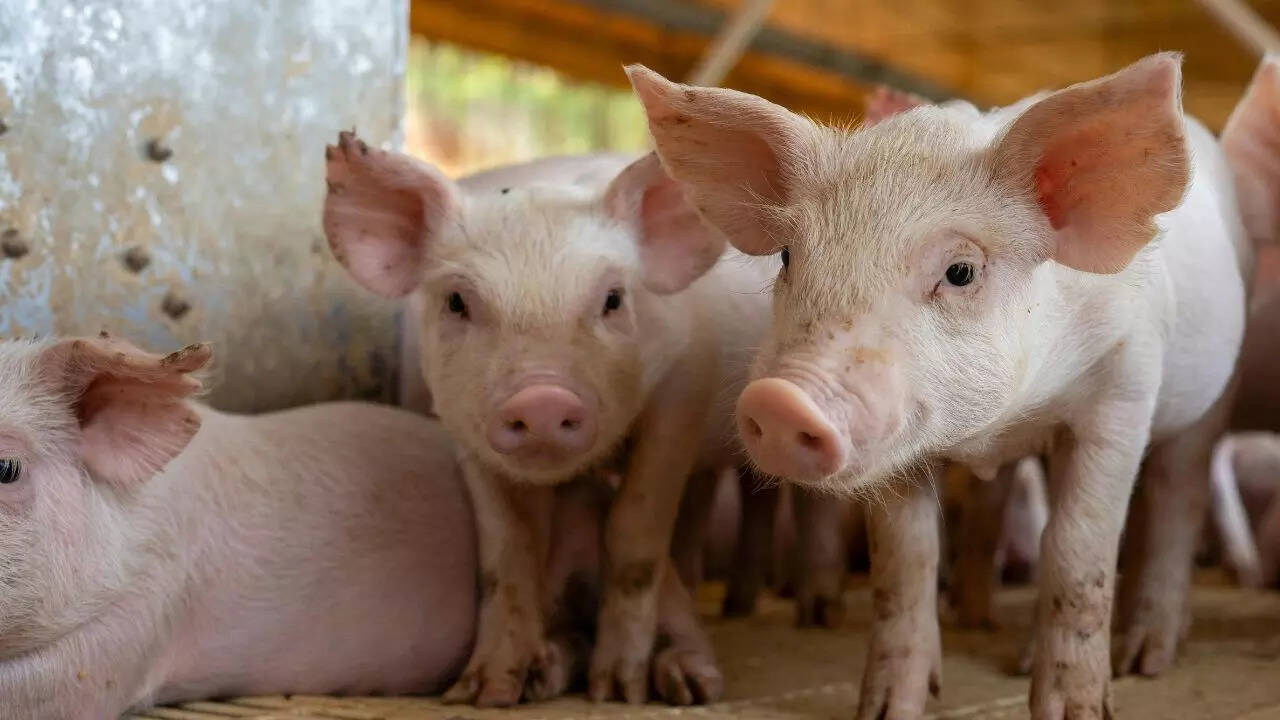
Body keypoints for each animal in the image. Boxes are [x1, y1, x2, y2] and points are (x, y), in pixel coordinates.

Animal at [323, 132, 780, 706]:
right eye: (456, 301)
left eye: (613, 299)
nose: (541, 399)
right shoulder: (463, 431)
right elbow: (507, 551)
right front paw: (483, 691)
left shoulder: (683, 390)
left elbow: (635, 531)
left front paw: (617, 689)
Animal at [628, 52, 1248, 720]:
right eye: (789, 256)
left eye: (960, 271)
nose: (781, 400)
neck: (997, 426)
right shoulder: (900, 447)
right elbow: (906, 561)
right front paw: (888, 708)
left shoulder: (1125, 385)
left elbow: (1078, 549)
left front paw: (1076, 711)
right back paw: (979, 621)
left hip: (1213, 400)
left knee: (1177, 498)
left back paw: (1145, 656)